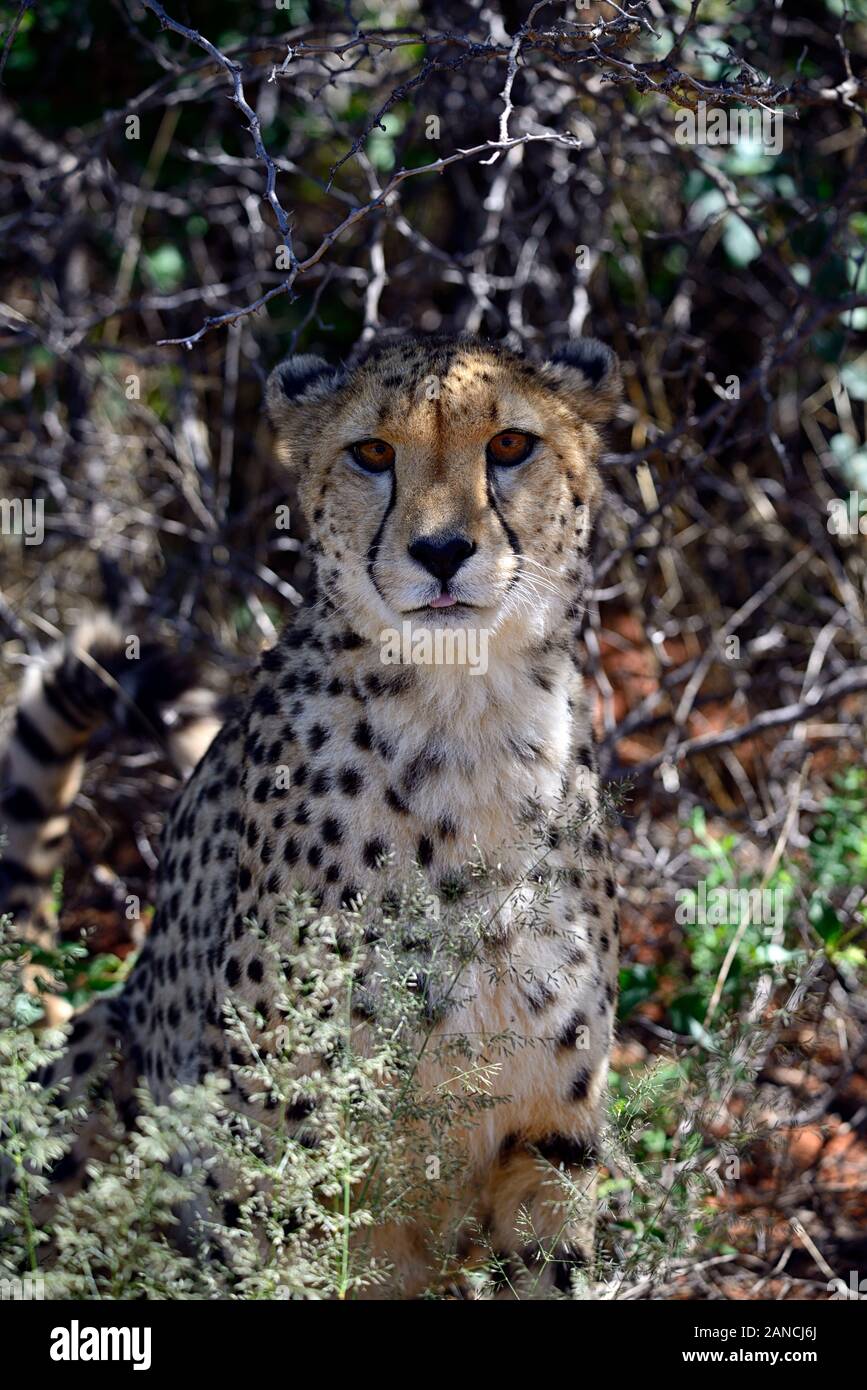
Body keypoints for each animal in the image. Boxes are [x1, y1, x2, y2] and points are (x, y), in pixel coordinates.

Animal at [0, 332, 623, 1298]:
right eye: (371, 452)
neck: (466, 725)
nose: (441, 550)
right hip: (106, 1062)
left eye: (511, 445)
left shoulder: (551, 1134)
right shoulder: (267, 1133)